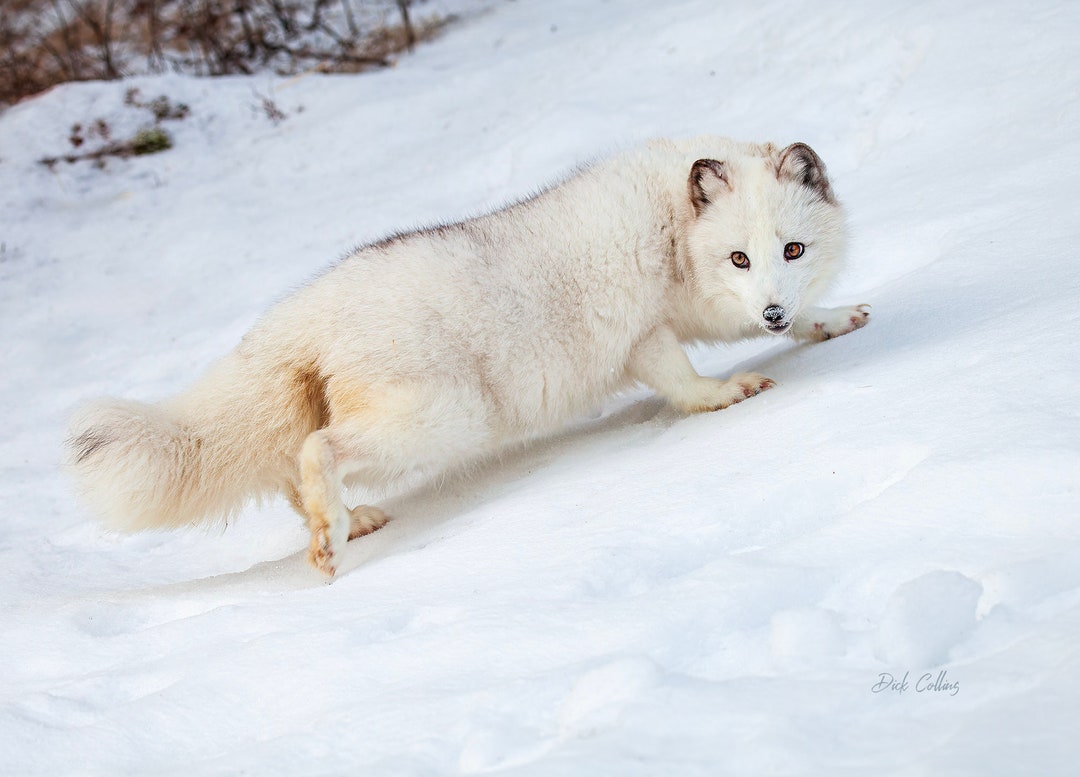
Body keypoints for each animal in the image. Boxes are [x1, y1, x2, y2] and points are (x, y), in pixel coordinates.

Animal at [67, 136, 869, 577]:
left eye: (792, 251)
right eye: (739, 257)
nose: (771, 310)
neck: (669, 222)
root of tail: (297, 313)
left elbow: (799, 325)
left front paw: (832, 319)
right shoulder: (643, 338)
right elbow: (684, 381)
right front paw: (726, 395)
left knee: (295, 469)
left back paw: (344, 523)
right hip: (444, 418)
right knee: (316, 450)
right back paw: (336, 534)